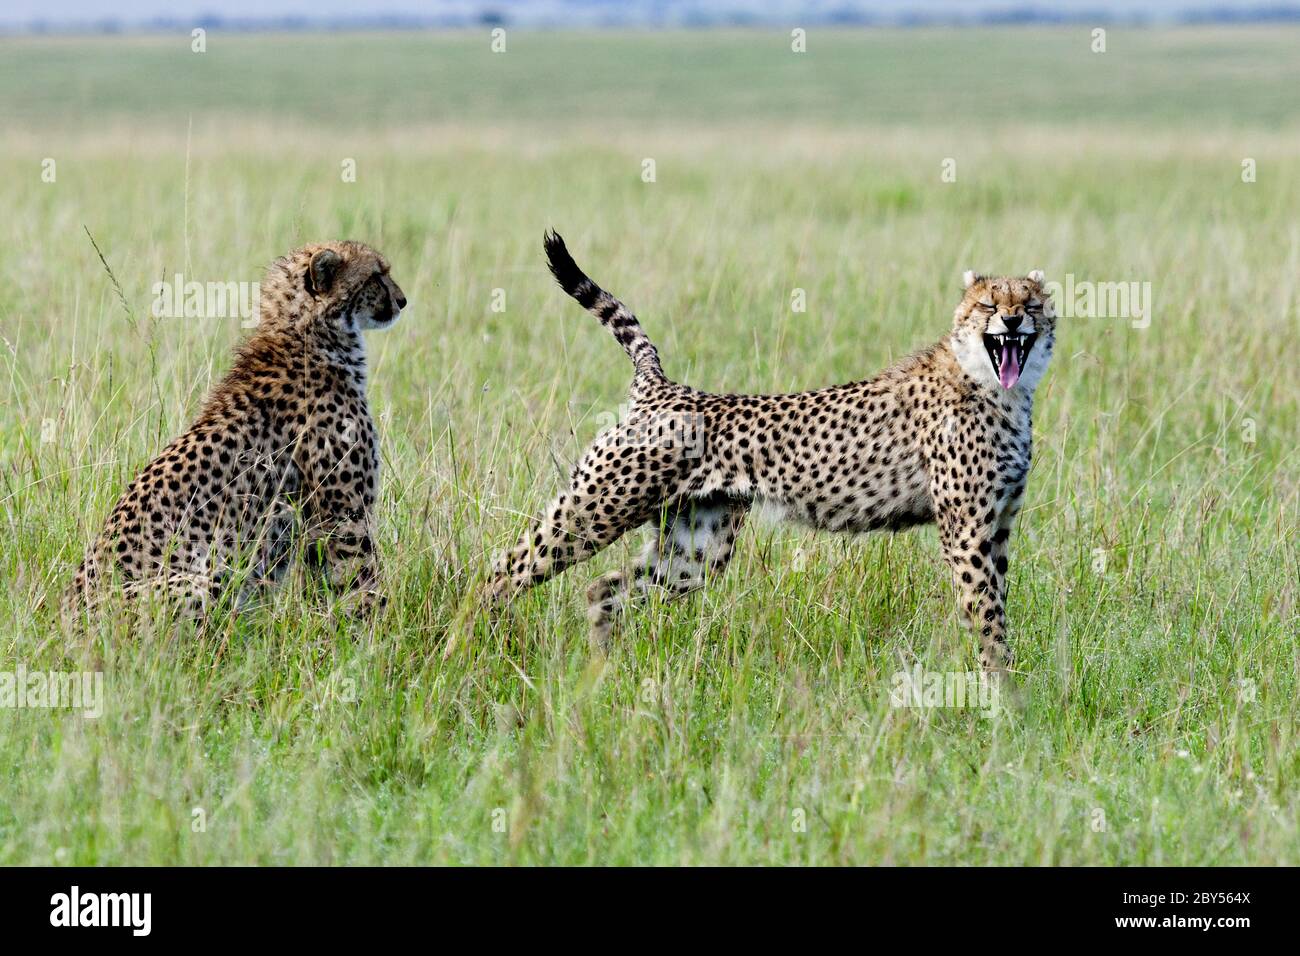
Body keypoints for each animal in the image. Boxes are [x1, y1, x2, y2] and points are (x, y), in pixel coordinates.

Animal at [64, 240, 406, 622]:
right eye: (377, 275)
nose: (403, 300)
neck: (309, 334)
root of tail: (65, 616)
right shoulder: (345, 515)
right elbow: (362, 584)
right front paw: (382, 630)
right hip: (209, 575)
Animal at [484, 231, 1056, 678]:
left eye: (1029, 305)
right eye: (989, 305)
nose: (1011, 322)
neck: (1000, 389)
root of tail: (661, 386)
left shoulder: (998, 525)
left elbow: (997, 606)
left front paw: (1007, 692)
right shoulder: (967, 529)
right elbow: (986, 616)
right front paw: (1002, 697)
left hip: (697, 549)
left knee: (603, 590)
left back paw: (601, 674)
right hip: (599, 507)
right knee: (504, 567)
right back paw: (480, 644)